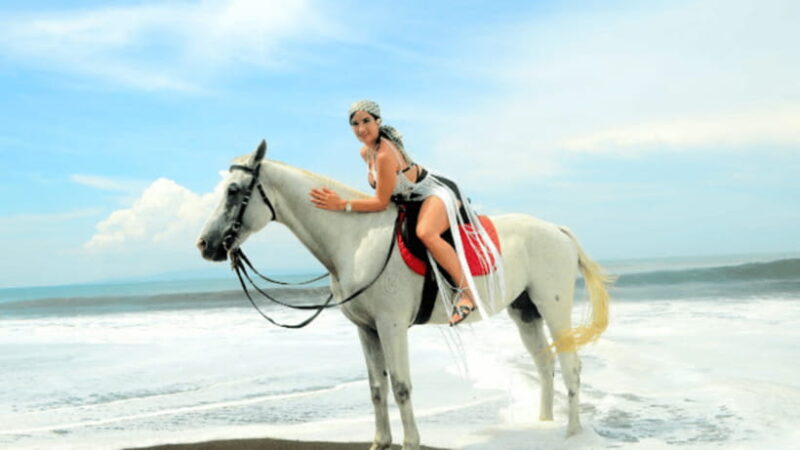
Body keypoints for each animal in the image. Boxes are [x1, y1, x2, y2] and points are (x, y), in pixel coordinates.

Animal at [196, 140, 613, 450]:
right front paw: (380, 441)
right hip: (525, 312)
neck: (355, 238)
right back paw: (544, 426)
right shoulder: (366, 330)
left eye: (233, 191)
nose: (205, 244)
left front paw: (410, 442)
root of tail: (556, 230)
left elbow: (400, 387)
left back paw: (571, 433)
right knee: (545, 365)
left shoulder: (391, 325)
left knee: (571, 367)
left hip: (552, 308)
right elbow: (377, 389)